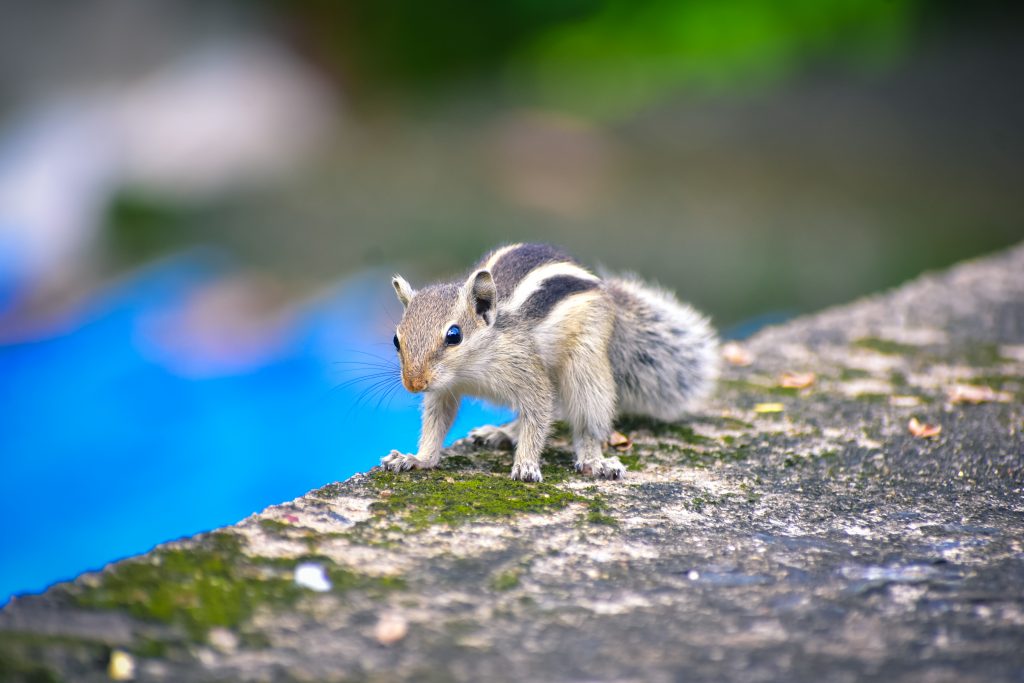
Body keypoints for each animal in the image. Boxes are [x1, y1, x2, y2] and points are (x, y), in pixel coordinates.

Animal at [382, 243, 719, 482]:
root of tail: (608, 294)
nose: (414, 383)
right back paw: (503, 433)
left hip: (585, 362)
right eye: (397, 340)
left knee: (585, 416)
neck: (471, 368)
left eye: (454, 335)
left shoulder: (527, 371)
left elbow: (538, 411)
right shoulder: (443, 390)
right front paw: (418, 459)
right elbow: (437, 421)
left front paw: (527, 465)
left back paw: (594, 461)